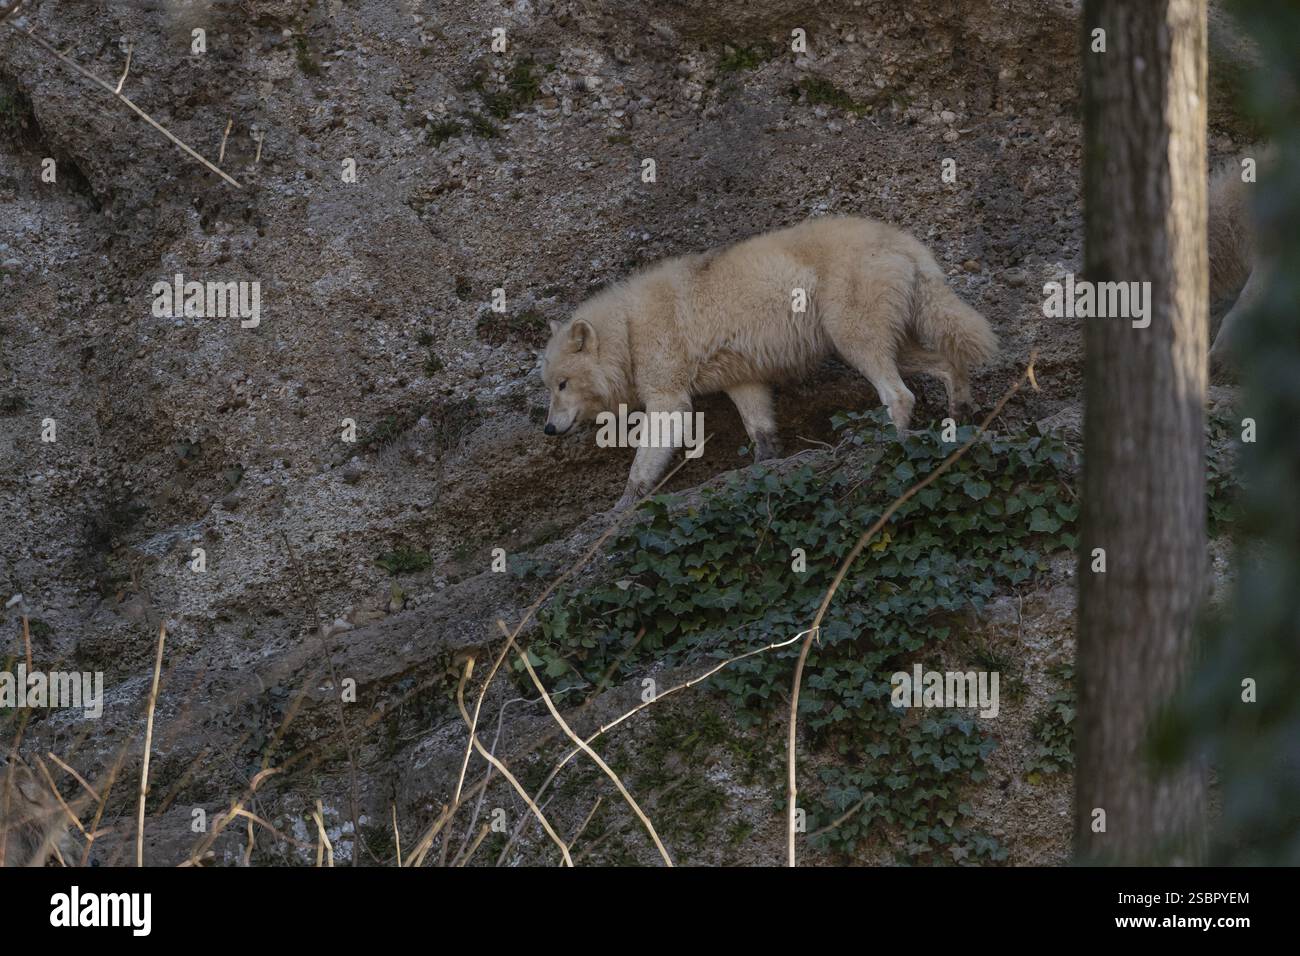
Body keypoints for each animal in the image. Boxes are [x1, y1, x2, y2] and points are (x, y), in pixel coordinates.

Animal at [540, 215, 999, 509]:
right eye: (550, 385)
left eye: (562, 383)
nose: (548, 429)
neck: (629, 330)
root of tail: (906, 243)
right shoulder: (743, 379)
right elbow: (759, 428)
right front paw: (763, 466)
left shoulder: (669, 397)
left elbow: (645, 459)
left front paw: (622, 505)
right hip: (895, 341)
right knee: (948, 363)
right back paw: (960, 414)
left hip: (854, 339)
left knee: (899, 394)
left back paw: (892, 440)